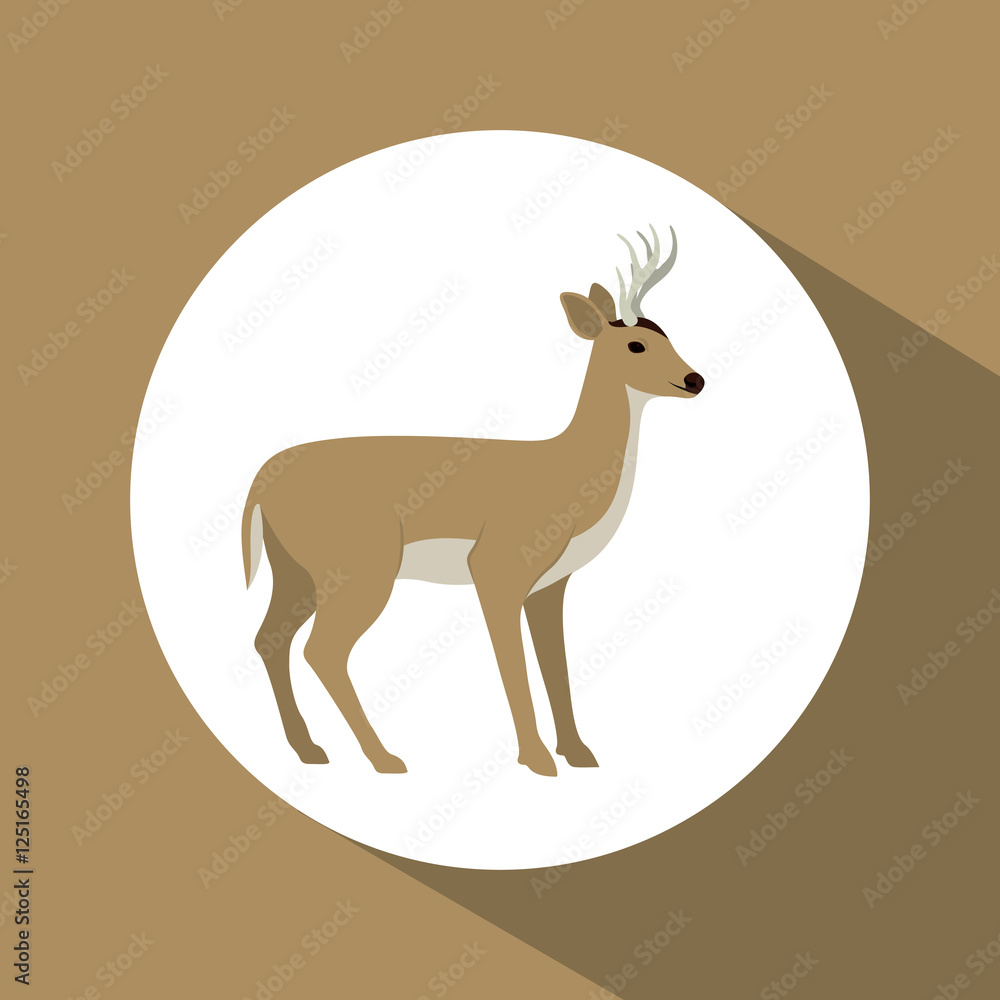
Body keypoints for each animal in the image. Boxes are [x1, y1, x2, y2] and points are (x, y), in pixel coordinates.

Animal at [240, 224, 704, 776]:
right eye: (636, 344)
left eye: (668, 334)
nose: (695, 380)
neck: (568, 471)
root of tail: (263, 477)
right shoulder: (496, 570)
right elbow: (513, 664)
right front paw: (537, 759)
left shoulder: (550, 585)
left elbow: (555, 664)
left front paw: (578, 753)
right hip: (360, 573)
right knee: (323, 651)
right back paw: (384, 758)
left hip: (298, 572)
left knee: (271, 639)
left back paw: (310, 750)